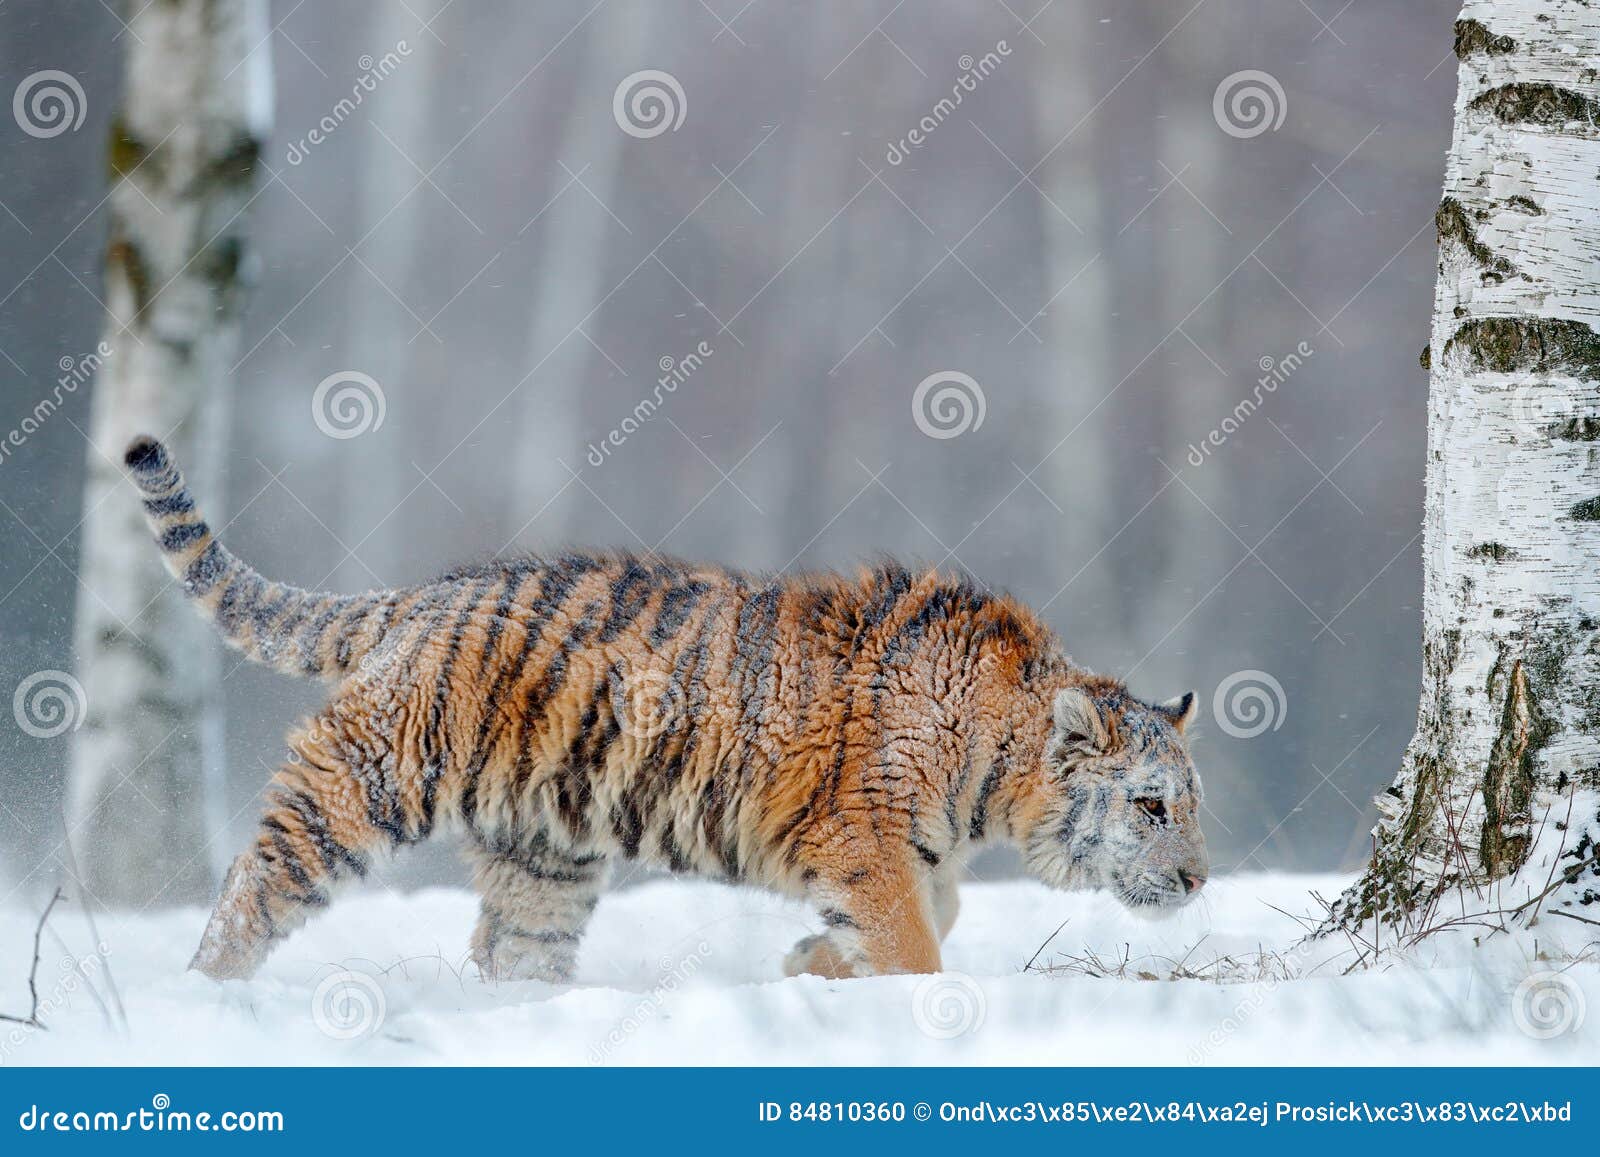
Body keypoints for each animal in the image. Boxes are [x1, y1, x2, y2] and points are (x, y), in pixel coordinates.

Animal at [124, 434, 1209, 983]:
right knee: (254, 884)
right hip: (361, 787)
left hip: (545, 860)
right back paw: (207, 994)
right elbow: (917, 941)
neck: (997, 766)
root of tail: (417, 597)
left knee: (512, 950)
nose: (1200, 879)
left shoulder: (905, 853)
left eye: (1193, 806)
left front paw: (814, 961)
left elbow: (926, 914)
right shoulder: (866, 838)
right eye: (1150, 805)